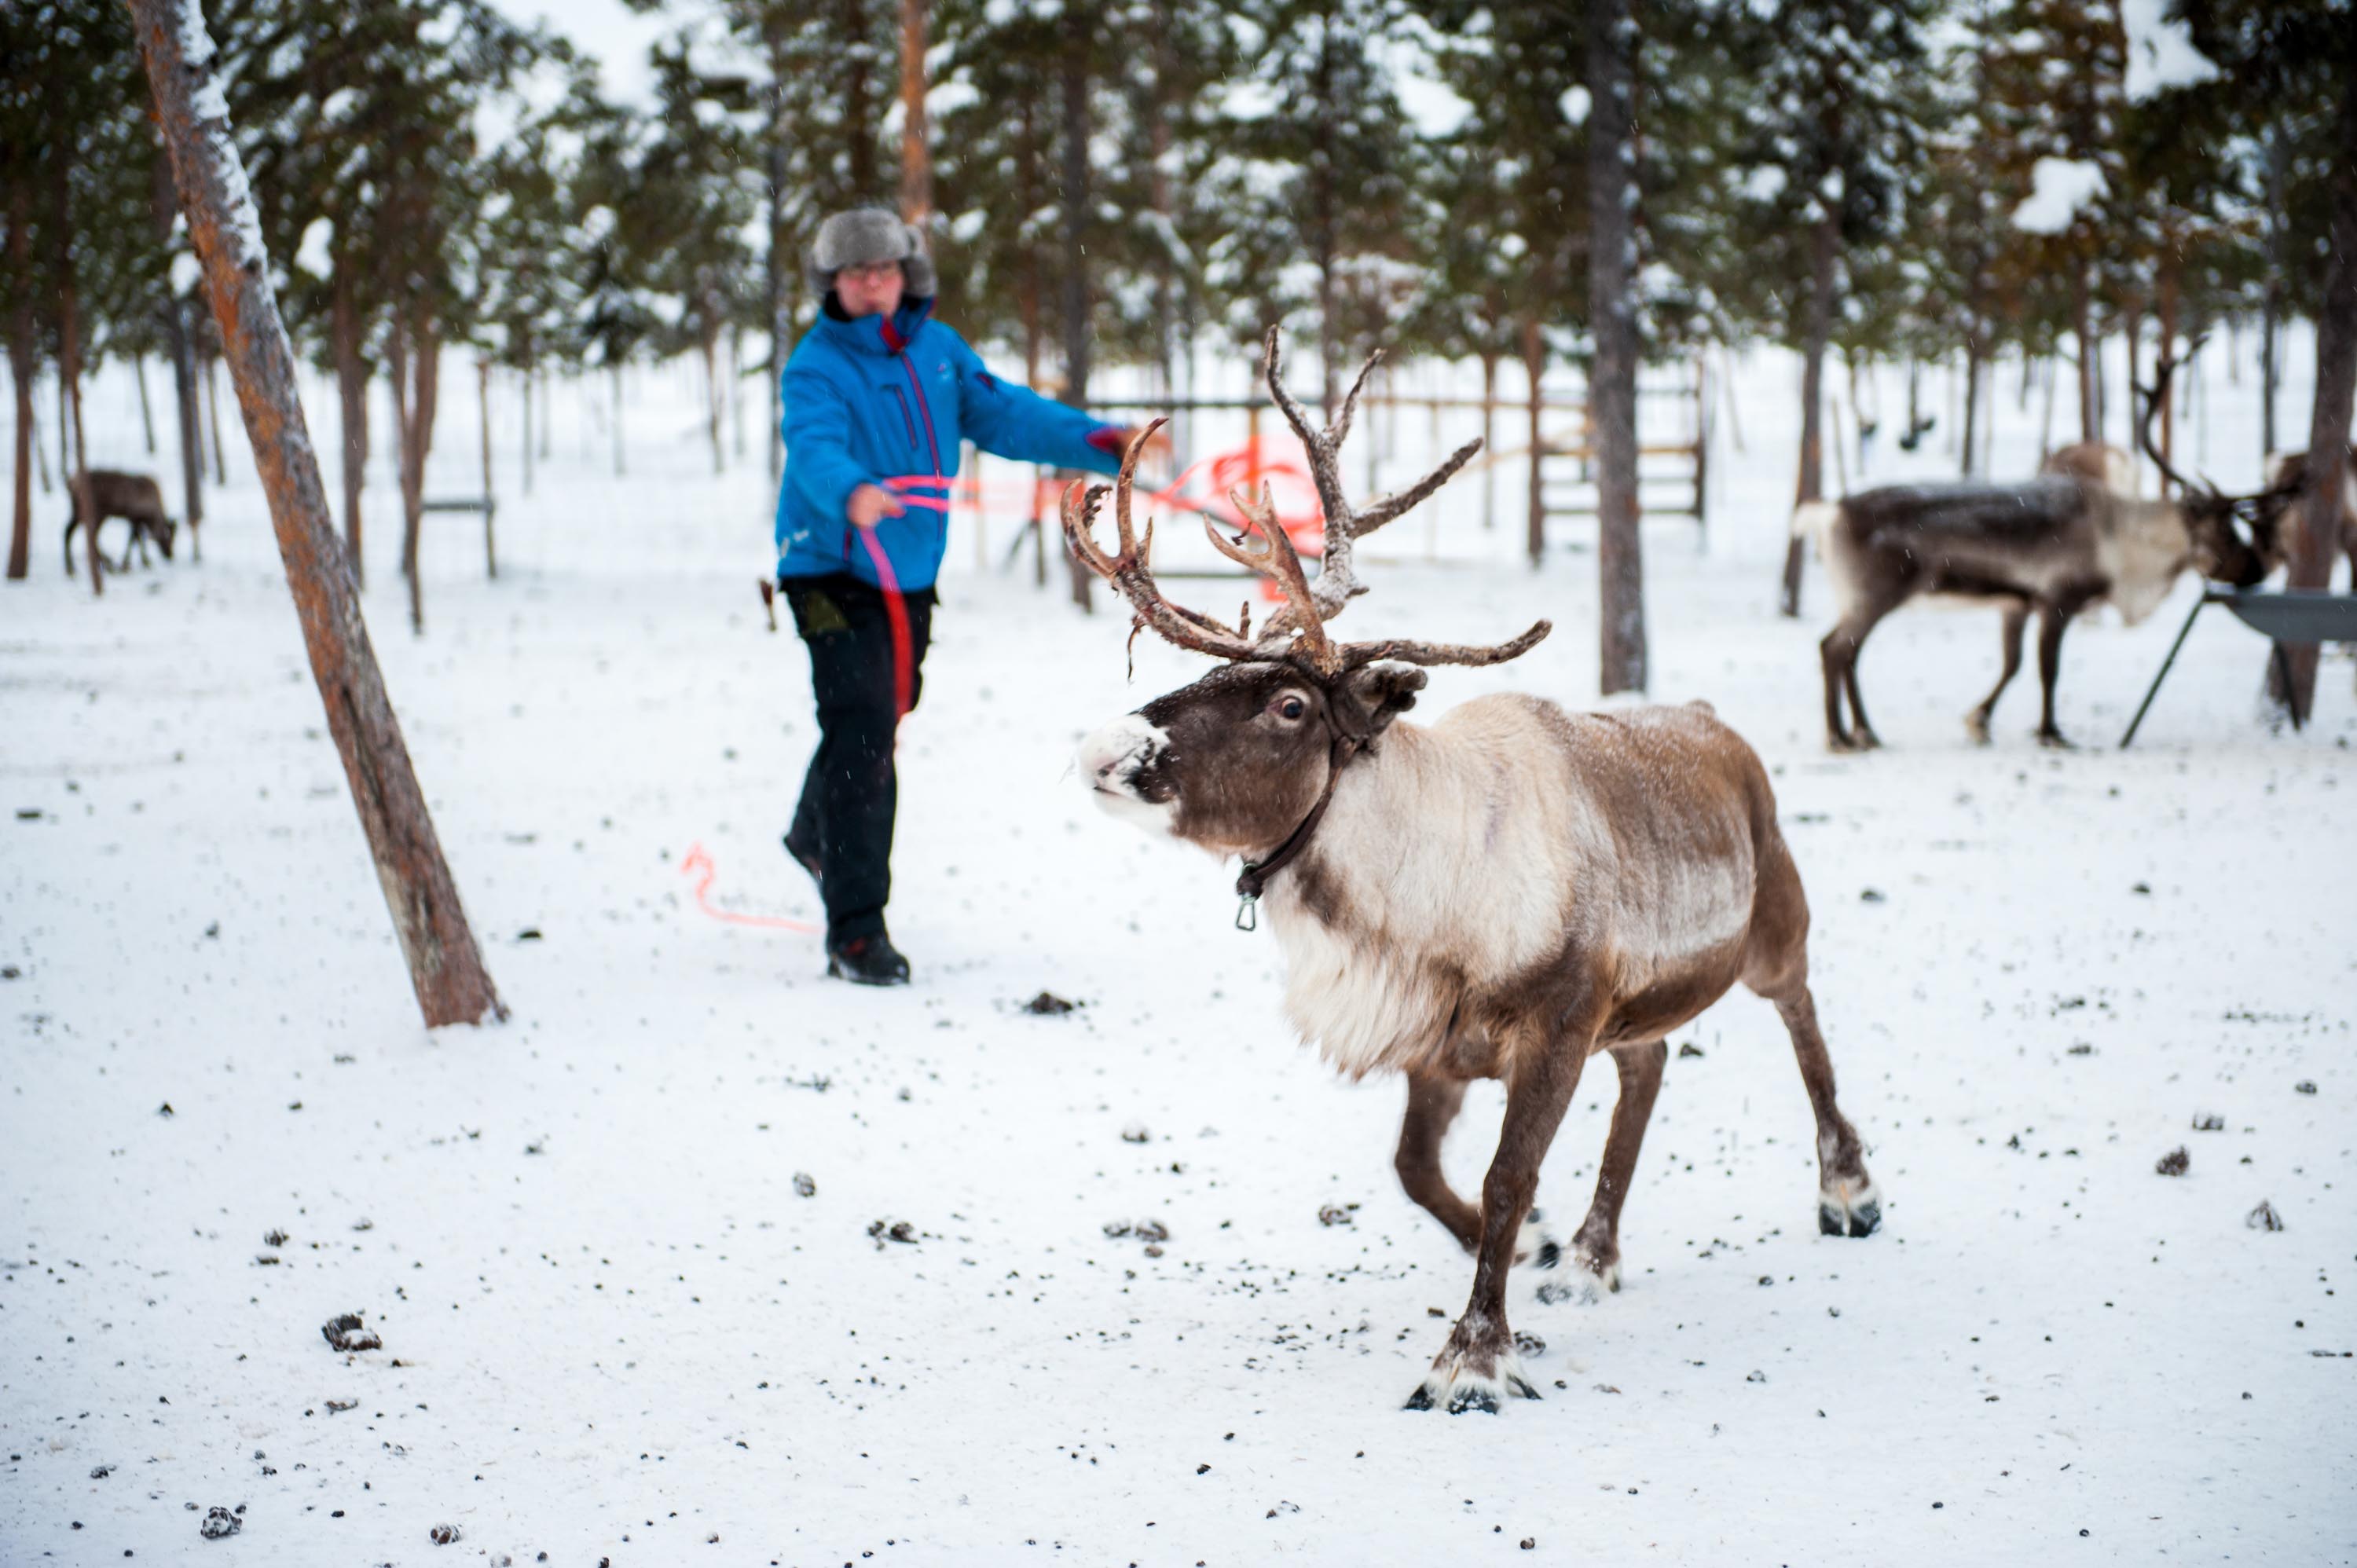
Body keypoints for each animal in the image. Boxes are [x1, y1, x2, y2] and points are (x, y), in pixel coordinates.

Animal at [63, 470, 179, 575]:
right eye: (168, 539)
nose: (170, 555)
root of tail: (70, 483)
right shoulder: (134, 517)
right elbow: (134, 539)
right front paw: (131, 563)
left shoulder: (138, 520)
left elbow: (139, 538)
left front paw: (144, 561)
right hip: (95, 513)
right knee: (87, 535)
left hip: (82, 513)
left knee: (72, 532)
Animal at [1068, 329, 1881, 1415]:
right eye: (1207, 671)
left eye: (1290, 704)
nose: (1107, 747)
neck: (1410, 897)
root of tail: (1715, 723)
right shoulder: (1439, 1041)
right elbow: (1415, 1168)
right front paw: (1533, 1252)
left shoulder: (1557, 1025)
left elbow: (1505, 1178)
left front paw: (1474, 1358)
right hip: (1635, 1005)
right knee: (1651, 1063)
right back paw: (1588, 1257)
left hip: (1775, 923)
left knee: (1804, 1025)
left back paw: (1848, 1193)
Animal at [1796, 353, 2291, 751]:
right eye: (2226, 530)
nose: (2256, 570)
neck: (2122, 541)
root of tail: (1830, 511)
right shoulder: (2059, 599)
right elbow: (2048, 669)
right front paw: (2052, 733)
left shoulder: (2016, 603)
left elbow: (2012, 665)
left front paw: (1980, 720)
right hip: (1876, 593)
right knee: (1833, 648)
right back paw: (1841, 738)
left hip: (1858, 597)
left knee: (1848, 653)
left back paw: (1866, 733)